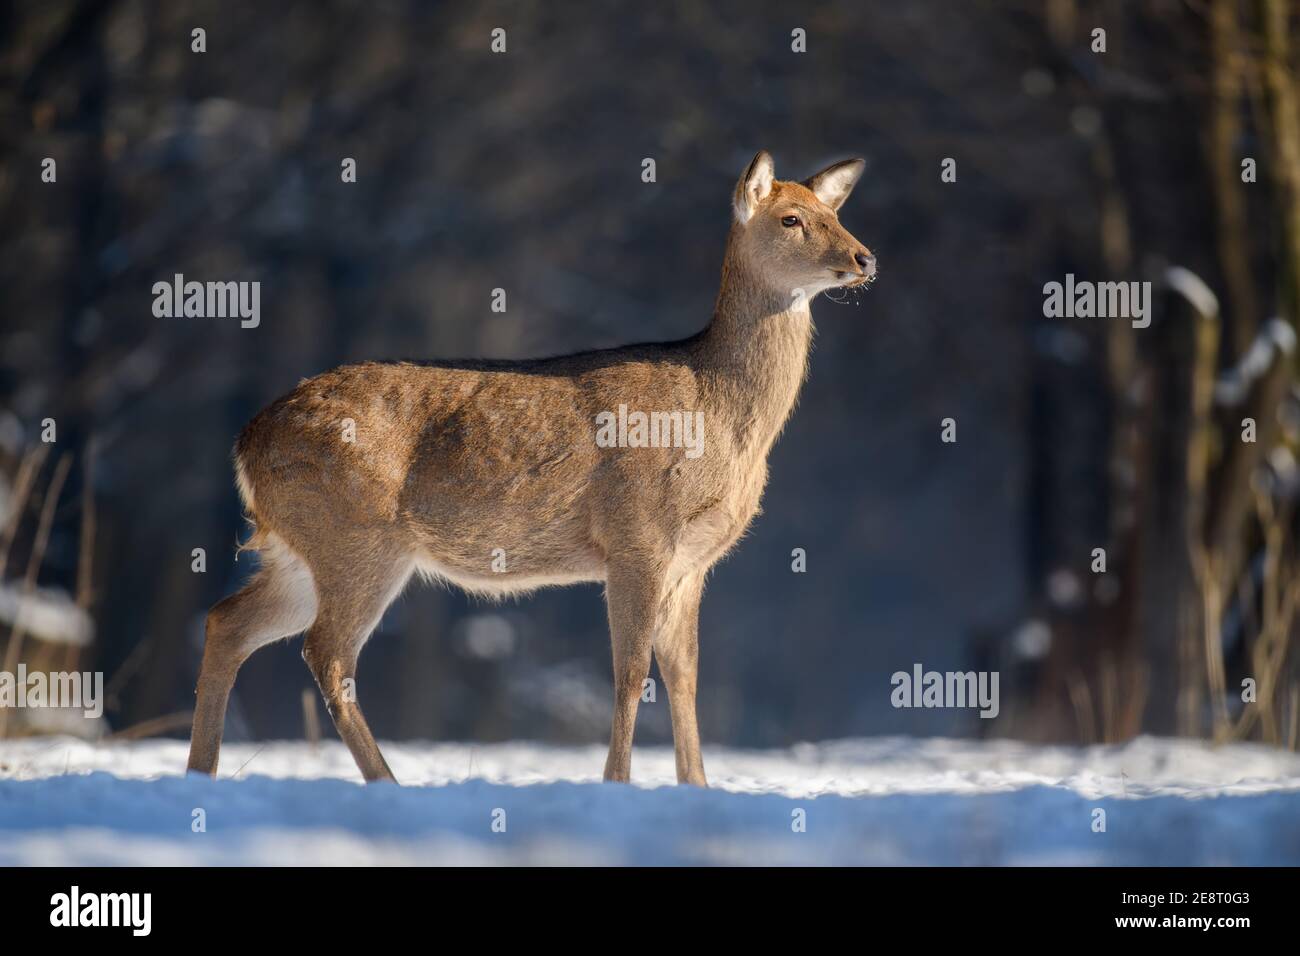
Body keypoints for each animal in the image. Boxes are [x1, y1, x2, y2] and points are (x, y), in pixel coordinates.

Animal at [186, 151, 876, 787]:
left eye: (836, 213)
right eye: (791, 218)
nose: (866, 258)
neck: (722, 416)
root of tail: (246, 441)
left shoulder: (692, 561)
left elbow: (684, 675)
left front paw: (697, 789)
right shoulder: (637, 536)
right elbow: (631, 675)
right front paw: (616, 785)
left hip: (303, 549)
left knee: (228, 622)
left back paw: (202, 773)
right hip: (357, 536)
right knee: (327, 654)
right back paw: (386, 783)